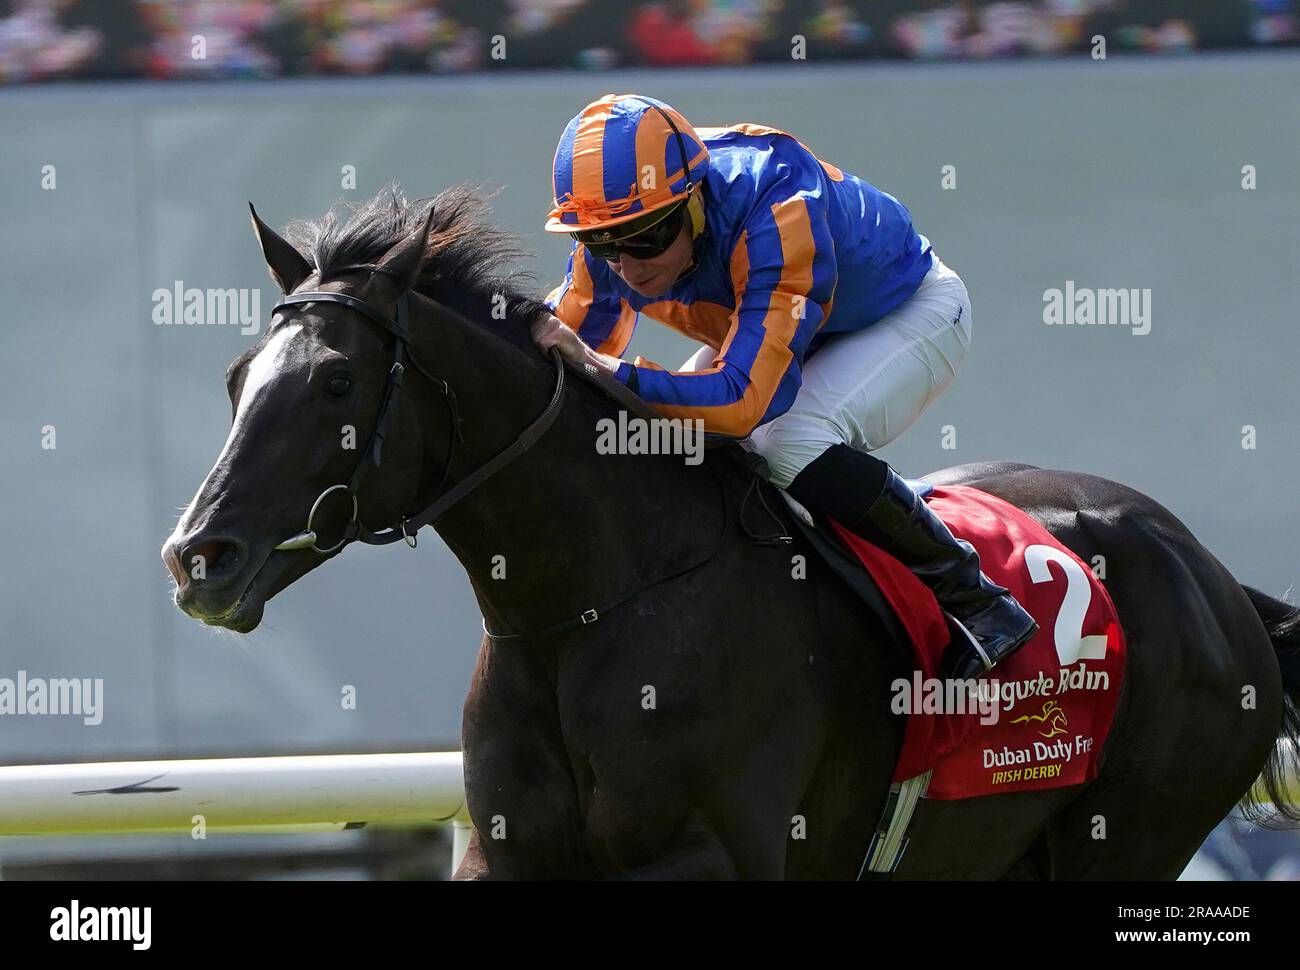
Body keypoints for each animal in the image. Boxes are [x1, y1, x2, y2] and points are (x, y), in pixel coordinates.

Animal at [162, 187, 1300, 879]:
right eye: (236, 378)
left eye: (336, 382)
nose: (198, 557)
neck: (587, 609)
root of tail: (1215, 578)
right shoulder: (506, 853)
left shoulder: (711, 853)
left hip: (1131, 833)